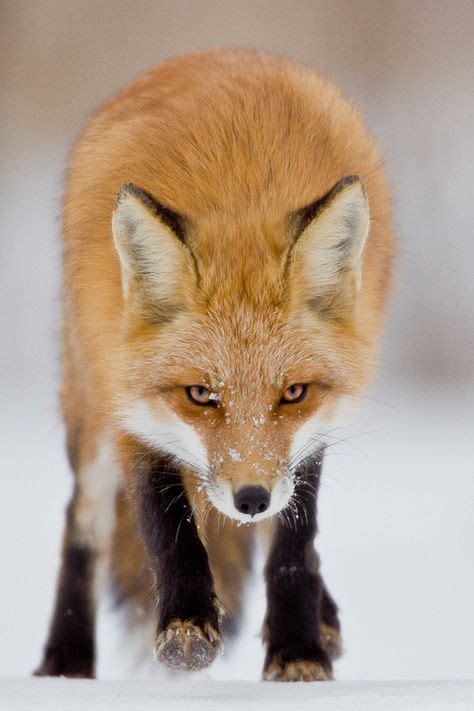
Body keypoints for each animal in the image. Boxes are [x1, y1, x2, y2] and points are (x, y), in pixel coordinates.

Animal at [35, 48, 394, 682]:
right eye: (201, 395)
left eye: (294, 392)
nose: (249, 499)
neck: (240, 194)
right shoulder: (132, 401)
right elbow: (169, 525)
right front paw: (185, 626)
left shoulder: (310, 434)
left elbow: (294, 543)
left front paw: (298, 648)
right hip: (91, 411)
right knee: (83, 523)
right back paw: (66, 660)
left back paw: (320, 620)